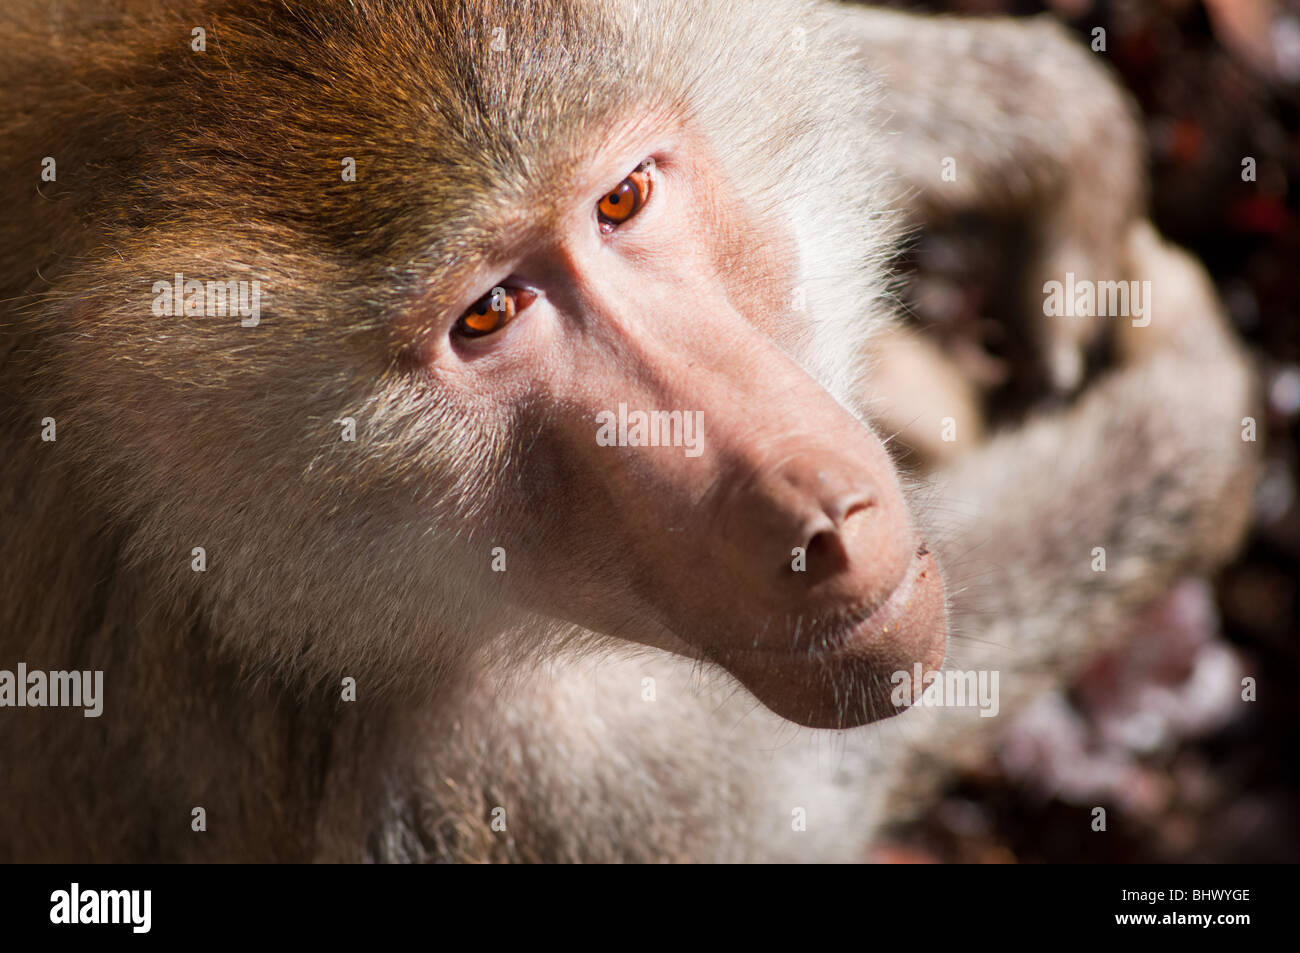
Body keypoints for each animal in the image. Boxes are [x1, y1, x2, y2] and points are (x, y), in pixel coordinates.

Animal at [0, 0, 1258, 862]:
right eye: (487, 314)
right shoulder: (505, 775)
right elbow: (797, 795)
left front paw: (1050, 126)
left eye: (622, 199)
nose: (822, 514)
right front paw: (1184, 419)